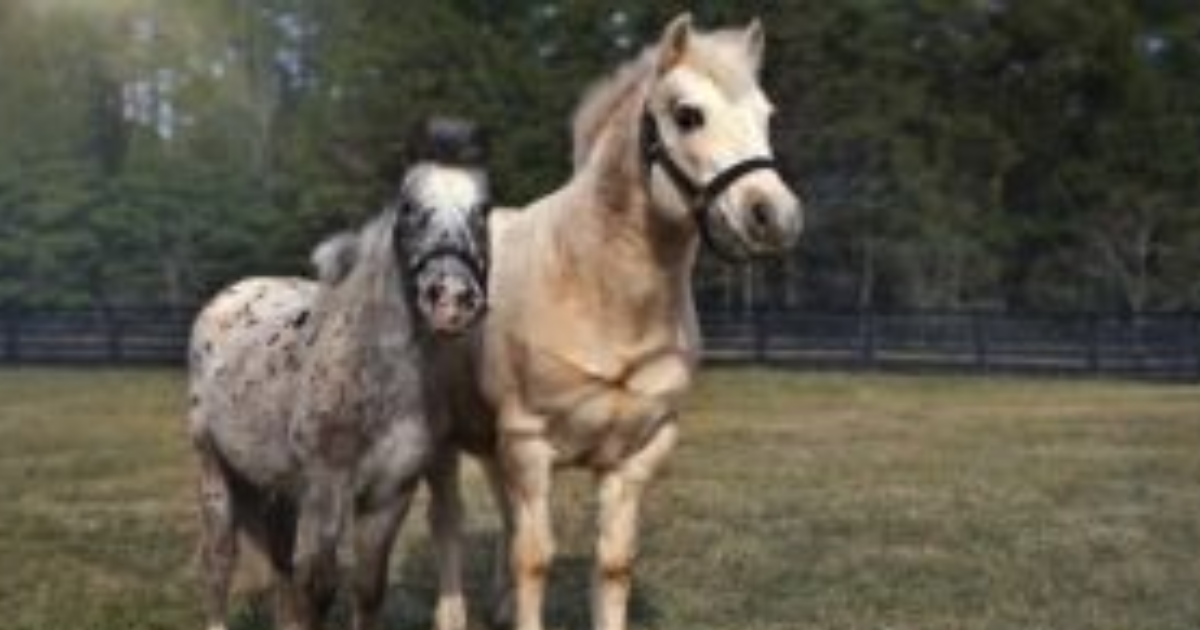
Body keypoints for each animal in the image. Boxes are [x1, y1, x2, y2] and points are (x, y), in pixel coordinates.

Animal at [186, 117, 491, 630]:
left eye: (483, 210)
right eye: (408, 207)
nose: (451, 298)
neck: (373, 375)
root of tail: (229, 296)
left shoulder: (389, 494)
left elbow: (367, 589)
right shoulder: (326, 492)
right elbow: (319, 590)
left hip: (280, 488)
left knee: (280, 567)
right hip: (214, 470)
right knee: (218, 565)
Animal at [425, 14, 803, 630]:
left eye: (767, 115)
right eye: (687, 115)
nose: (775, 217)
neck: (599, 295)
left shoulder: (635, 456)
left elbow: (614, 564)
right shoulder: (530, 445)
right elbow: (535, 559)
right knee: (449, 525)